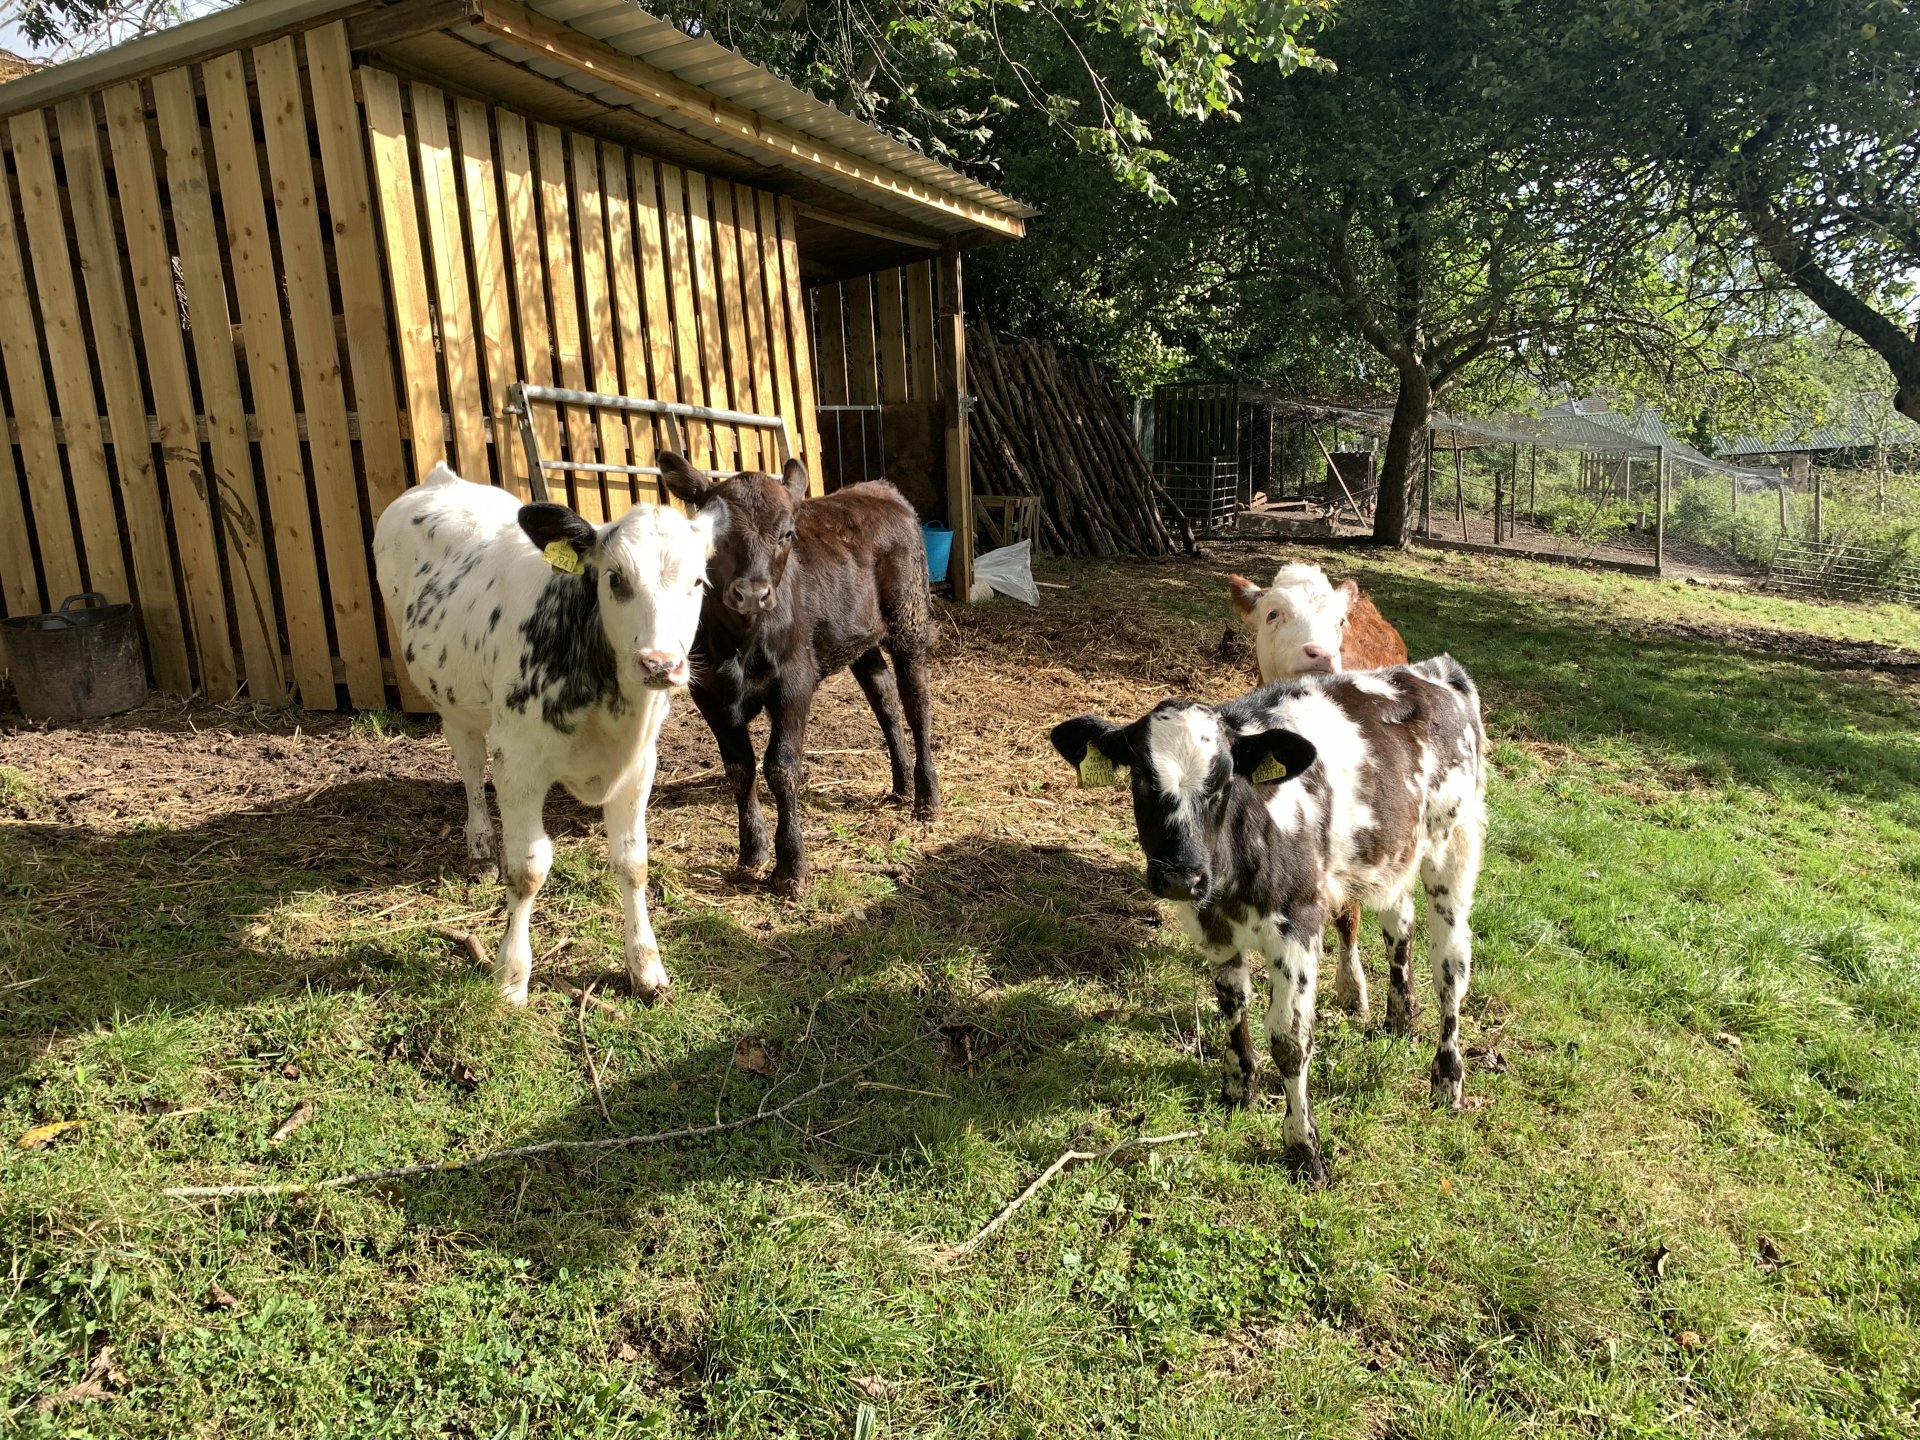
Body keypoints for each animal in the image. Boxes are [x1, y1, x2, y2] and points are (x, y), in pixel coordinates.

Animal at [373, 463, 720, 1005]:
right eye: (615, 578)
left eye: (699, 580)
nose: (661, 664)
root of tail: (440, 478)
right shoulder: (519, 761)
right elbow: (529, 867)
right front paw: (511, 975)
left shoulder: (640, 763)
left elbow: (633, 862)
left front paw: (646, 966)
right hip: (452, 702)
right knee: (469, 768)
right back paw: (480, 846)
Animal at [657, 451, 938, 898]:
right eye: (712, 533)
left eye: (787, 533)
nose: (752, 593)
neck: (739, 645)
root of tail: (878, 488)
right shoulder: (709, 692)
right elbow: (739, 768)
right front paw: (752, 853)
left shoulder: (795, 681)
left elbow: (781, 767)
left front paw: (791, 866)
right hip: (860, 641)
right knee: (887, 706)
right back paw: (901, 787)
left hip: (909, 620)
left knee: (917, 707)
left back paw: (926, 799)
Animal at [1050, 657, 1487, 1183]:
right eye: (1138, 780)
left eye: (1222, 785)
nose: (1180, 877)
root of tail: (1433, 670)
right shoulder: (1213, 927)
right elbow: (1231, 1006)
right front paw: (1240, 1090)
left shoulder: (1297, 929)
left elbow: (1290, 1040)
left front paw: (1303, 1146)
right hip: (1391, 855)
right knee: (1399, 924)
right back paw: (1400, 1017)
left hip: (1453, 848)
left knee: (1451, 966)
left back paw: (1447, 1078)